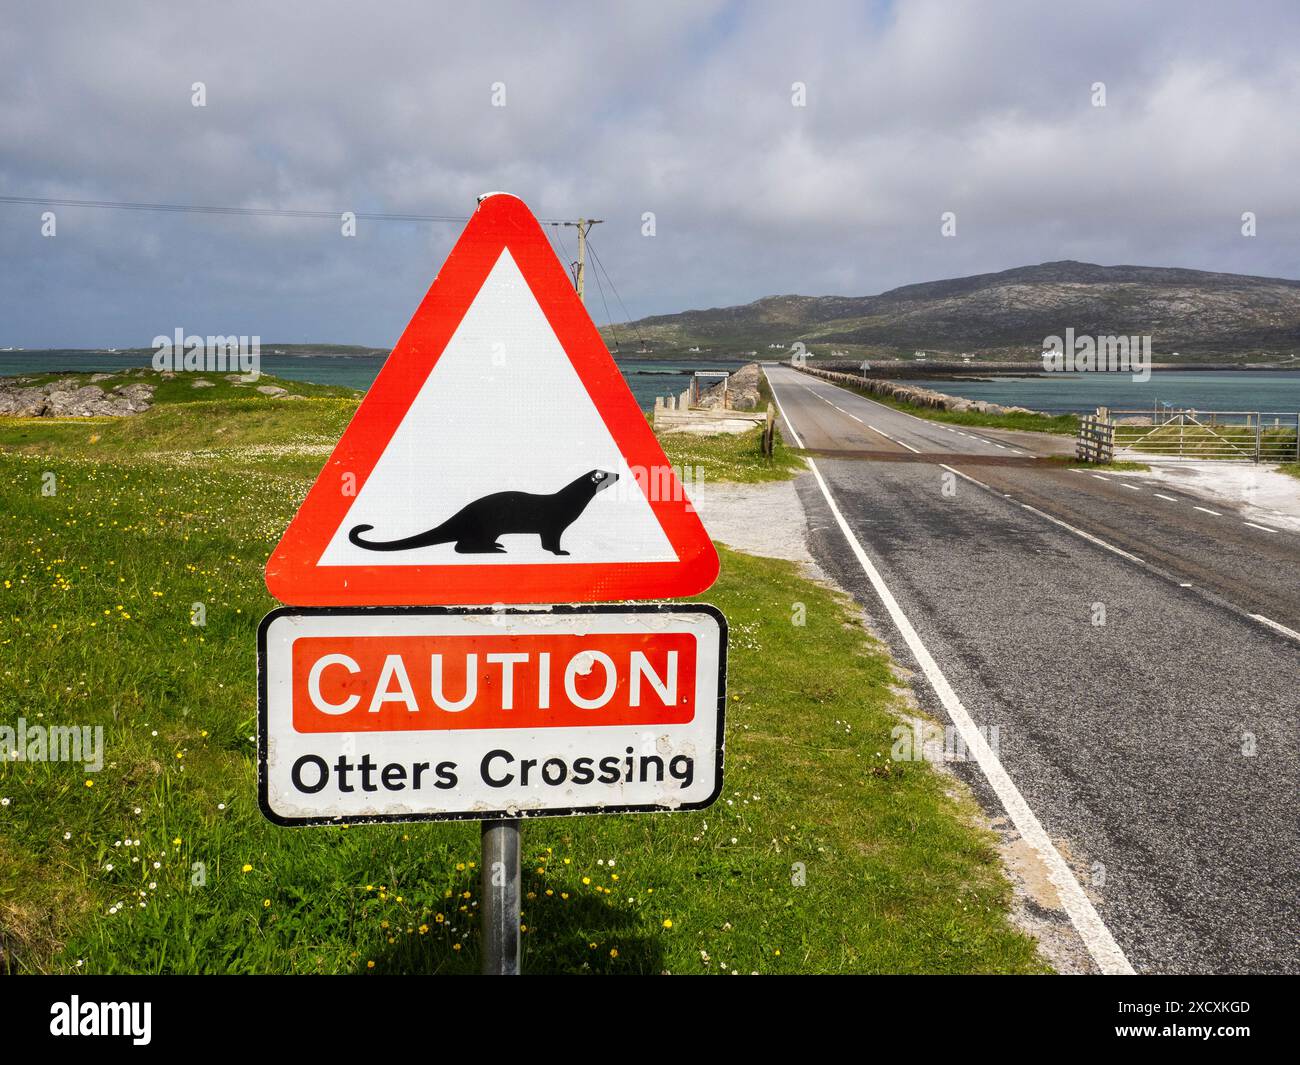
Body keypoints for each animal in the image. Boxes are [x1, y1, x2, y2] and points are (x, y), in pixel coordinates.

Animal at [348, 469, 618, 556]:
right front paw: (561, 553)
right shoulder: (553, 526)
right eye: (605, 475)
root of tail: (460, 515)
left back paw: (496, 547)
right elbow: (550, 543)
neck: (567, 500)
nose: (618, 473)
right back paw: (495, 550)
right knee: (460, 547)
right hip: (485, 527)